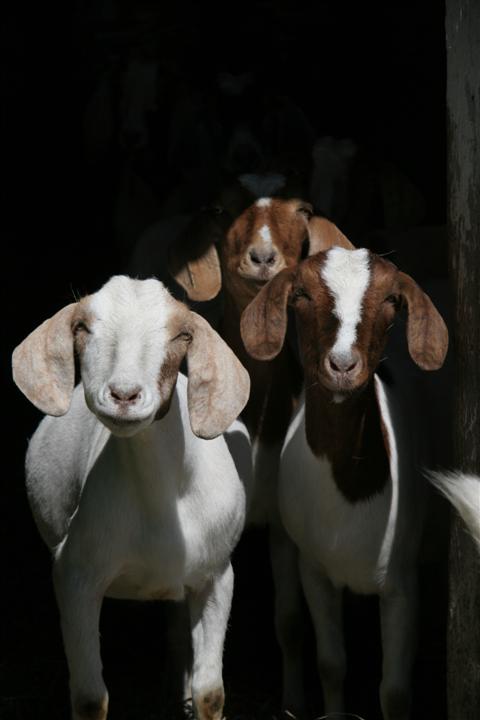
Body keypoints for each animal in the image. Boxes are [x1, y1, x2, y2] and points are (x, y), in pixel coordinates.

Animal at [12, 275, 251, 720]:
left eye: (182, 334)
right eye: (82, 327)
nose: (124, 395)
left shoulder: (216, 575)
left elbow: (211, 692)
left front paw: (196, 696)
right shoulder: (75, 577)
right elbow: (90, 699)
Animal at [169, 198, 353, 715]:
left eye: (303, 210)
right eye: (220, 207)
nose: (264, 256)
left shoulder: (280, 518)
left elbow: (288, 622)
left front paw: (293, 702)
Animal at [241, 246, 449, 719]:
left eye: (392, 300)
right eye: (300, 295)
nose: (342, 365)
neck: (348, 492)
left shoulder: (402, 584)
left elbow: (395, 692)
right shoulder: (314, 570)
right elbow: (332, 664)